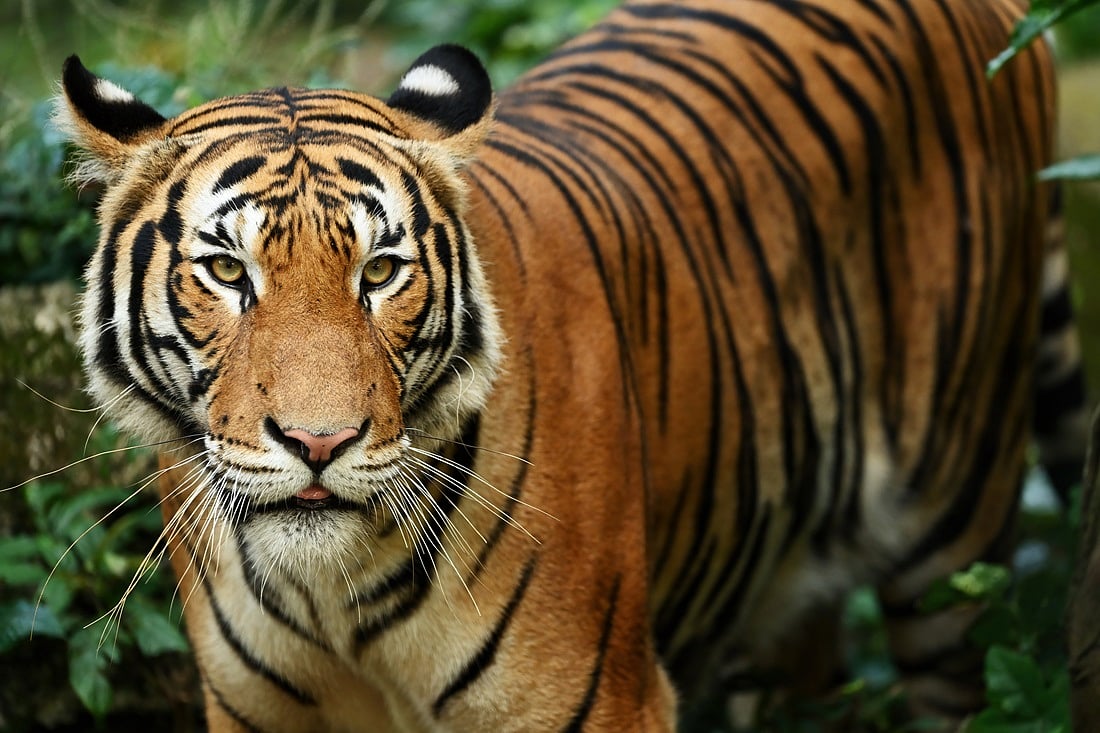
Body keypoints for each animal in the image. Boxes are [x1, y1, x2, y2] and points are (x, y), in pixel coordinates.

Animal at [53, 0, 1085, 730]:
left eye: (380, 271)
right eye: (228, 271)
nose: (320, 441)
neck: (331, 597)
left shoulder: (593, 702)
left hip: (956, 544)